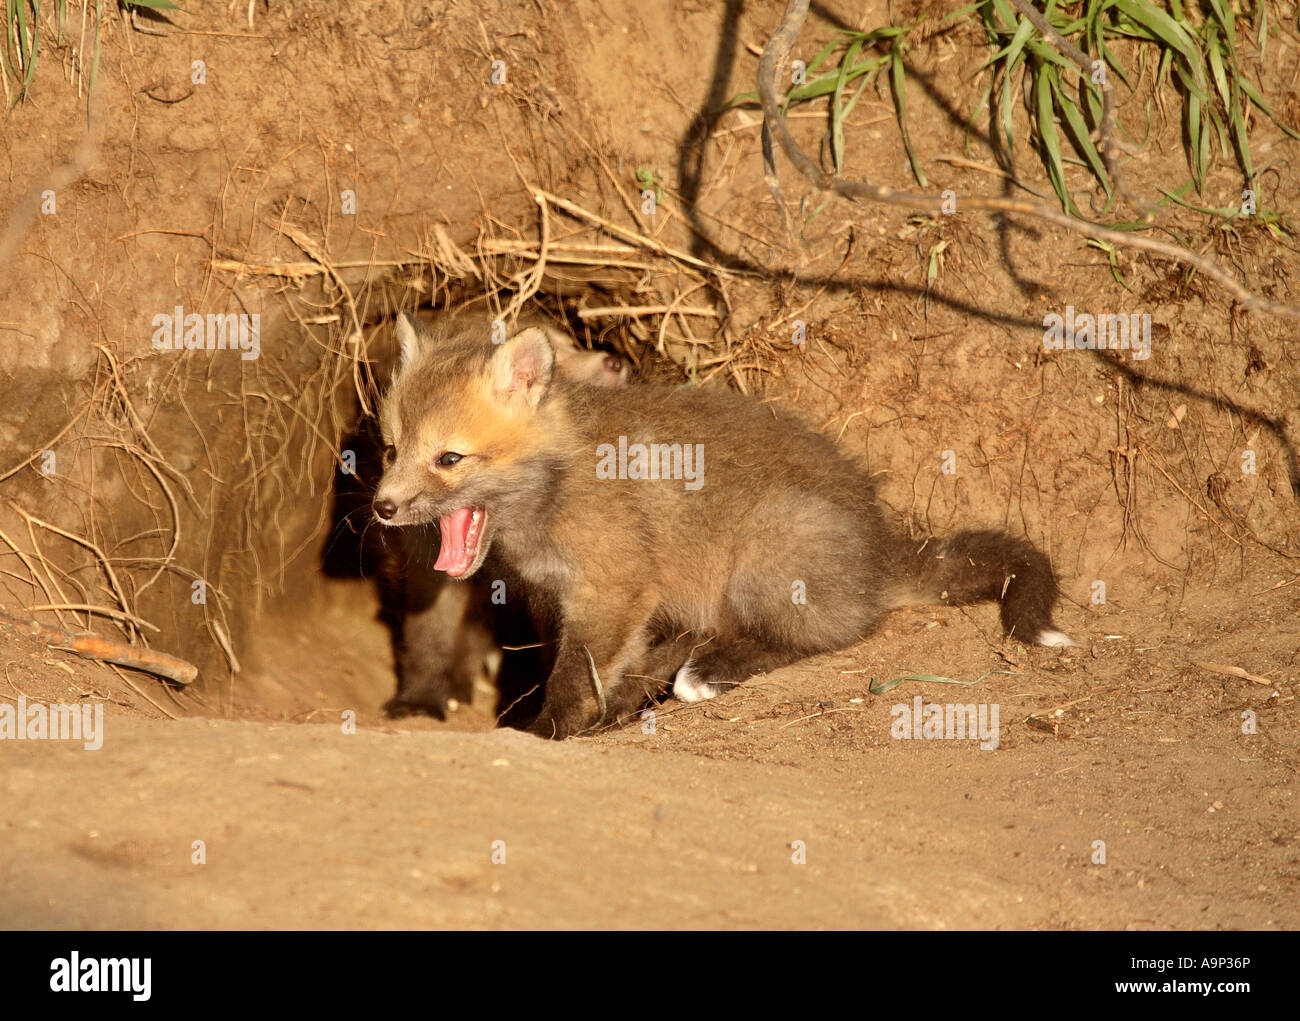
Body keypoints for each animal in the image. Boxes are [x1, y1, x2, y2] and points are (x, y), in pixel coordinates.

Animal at [374, 314, 1072, 739]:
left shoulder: (613, 590)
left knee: (824, 637)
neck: (556, 488)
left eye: (449, 459)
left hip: (764, 561)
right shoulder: (561, 600)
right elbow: (590, 668)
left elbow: (575, 680)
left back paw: (709, 673)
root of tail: (883, 550)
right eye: (390, 450)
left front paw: (547, 732)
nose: (381, 508)